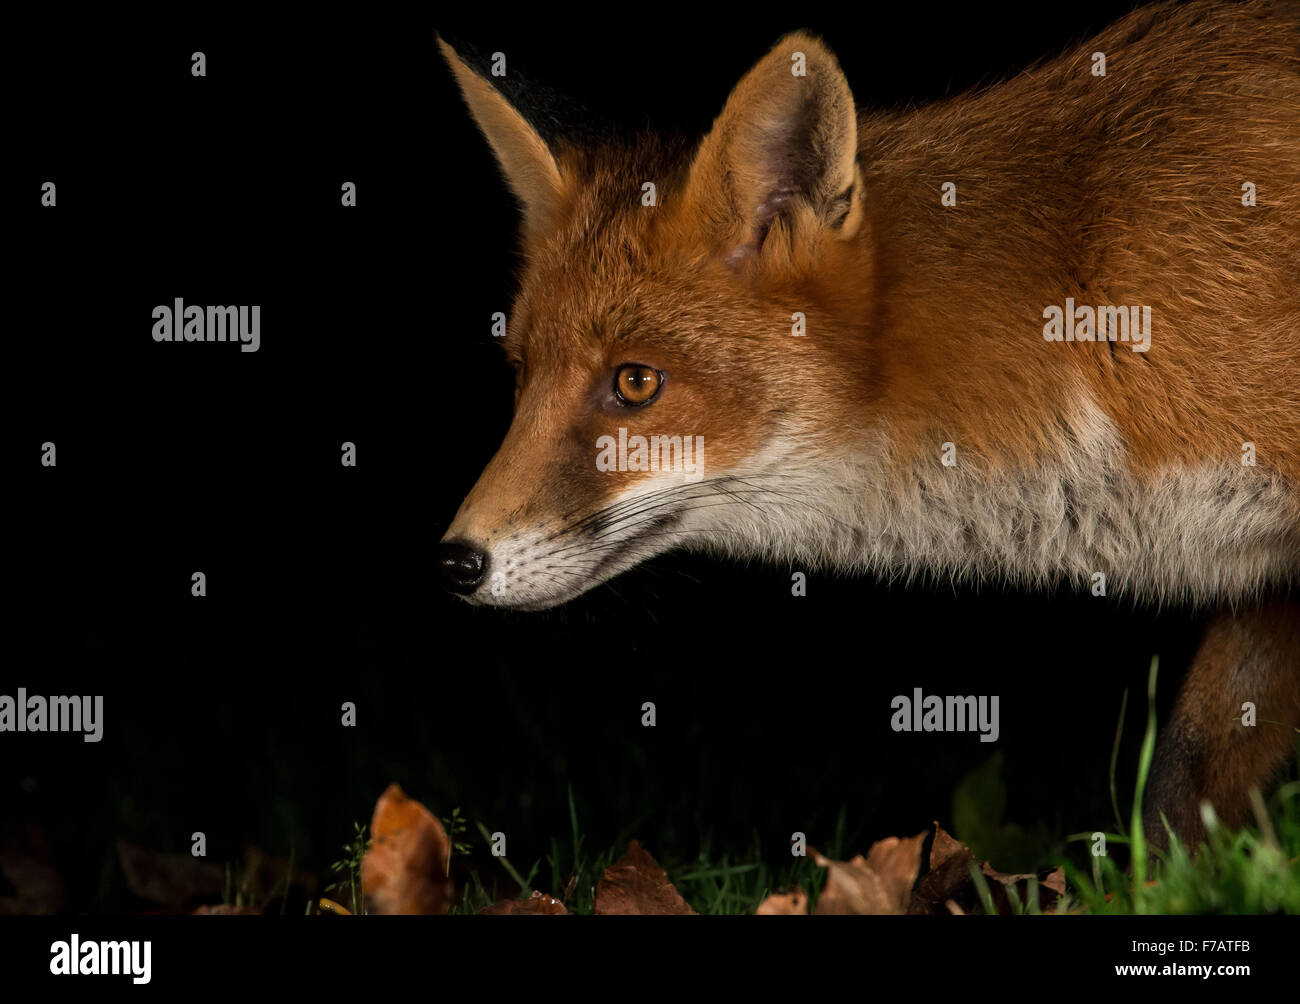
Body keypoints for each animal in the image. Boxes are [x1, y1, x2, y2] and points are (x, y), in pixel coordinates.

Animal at [436, 0, 1300, 849]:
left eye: (635, 383)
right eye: (519, 374)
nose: (456, 561)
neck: (1083, 307)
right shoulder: (1268, 586)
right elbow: (1182, 785)